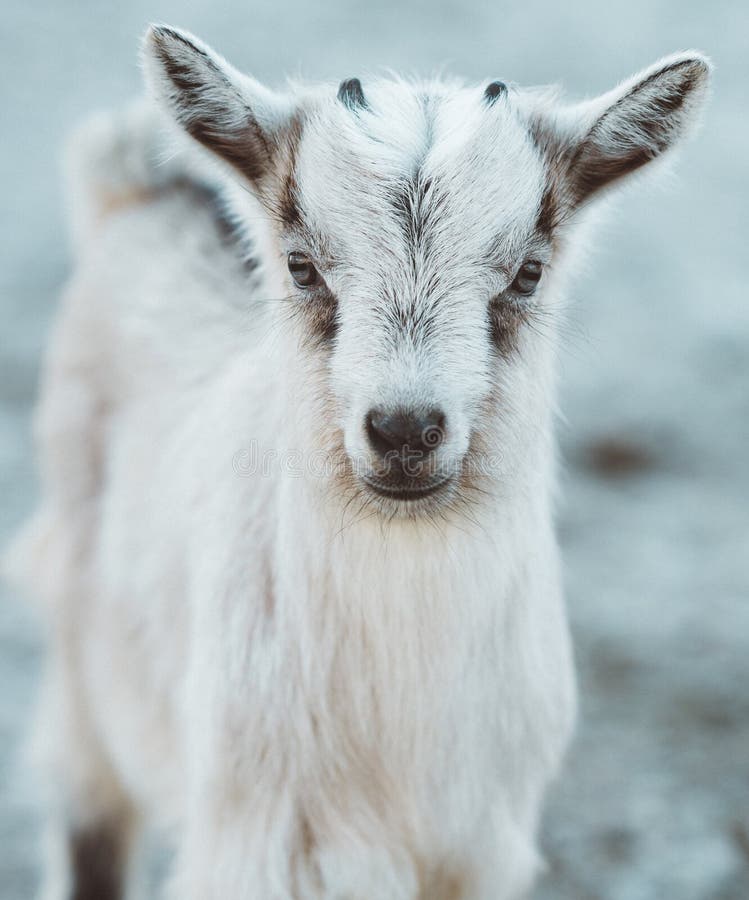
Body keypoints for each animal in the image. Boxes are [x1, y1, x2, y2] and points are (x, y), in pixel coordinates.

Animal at [6, 25, 710, 900]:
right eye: (301, 266)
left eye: (528, 272)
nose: (404, 429)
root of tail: (133, 190)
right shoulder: (266, 847)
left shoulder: (476, 851)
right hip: (82, 673)